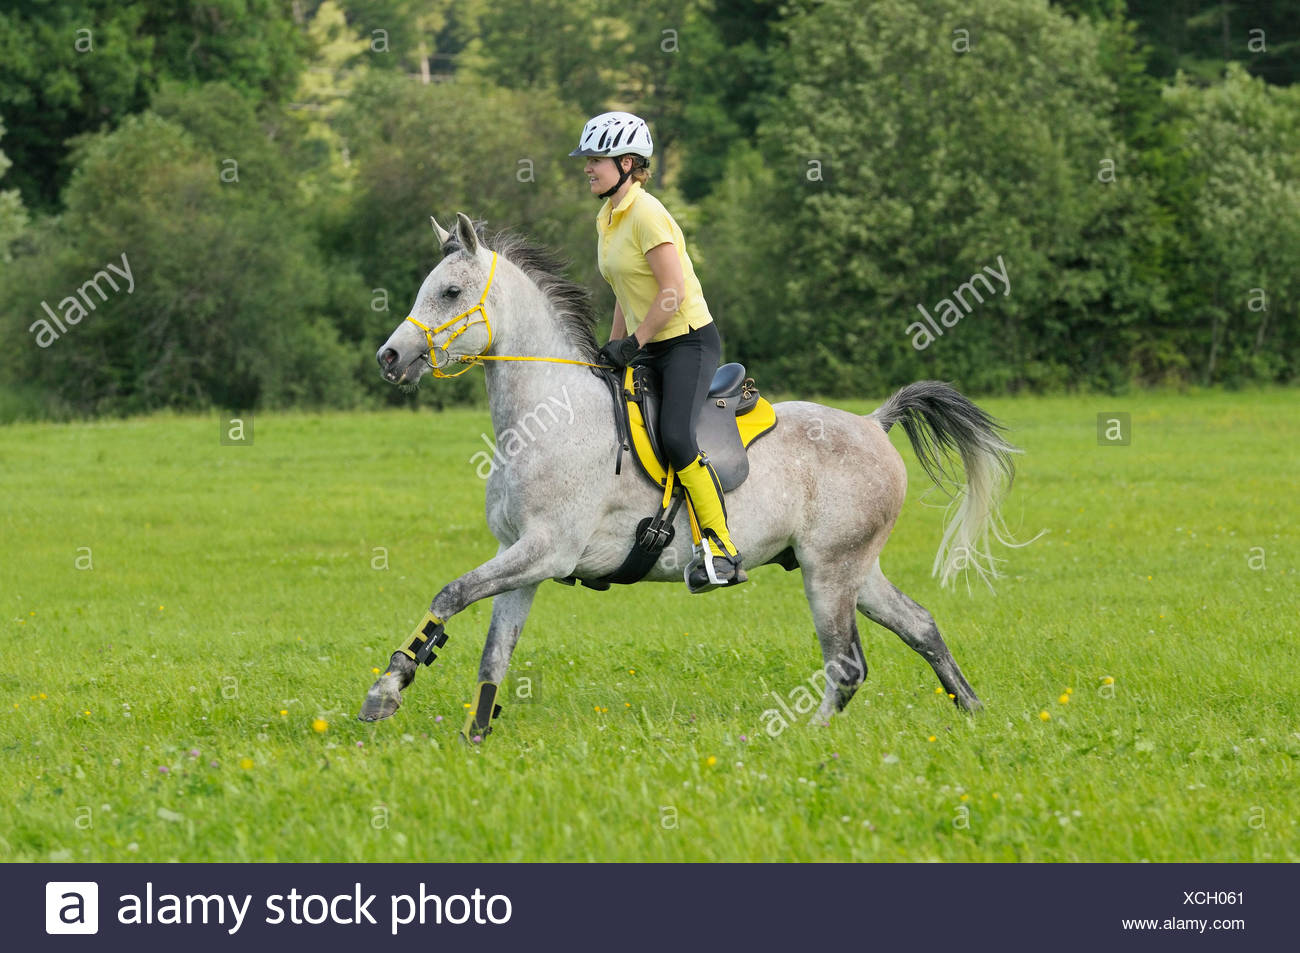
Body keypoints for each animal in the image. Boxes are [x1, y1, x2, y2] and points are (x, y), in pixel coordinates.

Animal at [359, 212, 1025, 738]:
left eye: (449, 292)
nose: (389, 358)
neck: (548, 414)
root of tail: (872, 423)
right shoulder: (521, 556)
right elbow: (493, 655)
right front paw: (473, 736)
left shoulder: (547, 550)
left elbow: (450, 594)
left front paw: (386, 689)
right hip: (852, 568)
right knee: (920, 626)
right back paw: (973, 710)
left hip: (831, 571)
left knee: (847, 664)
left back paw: (801, 736)